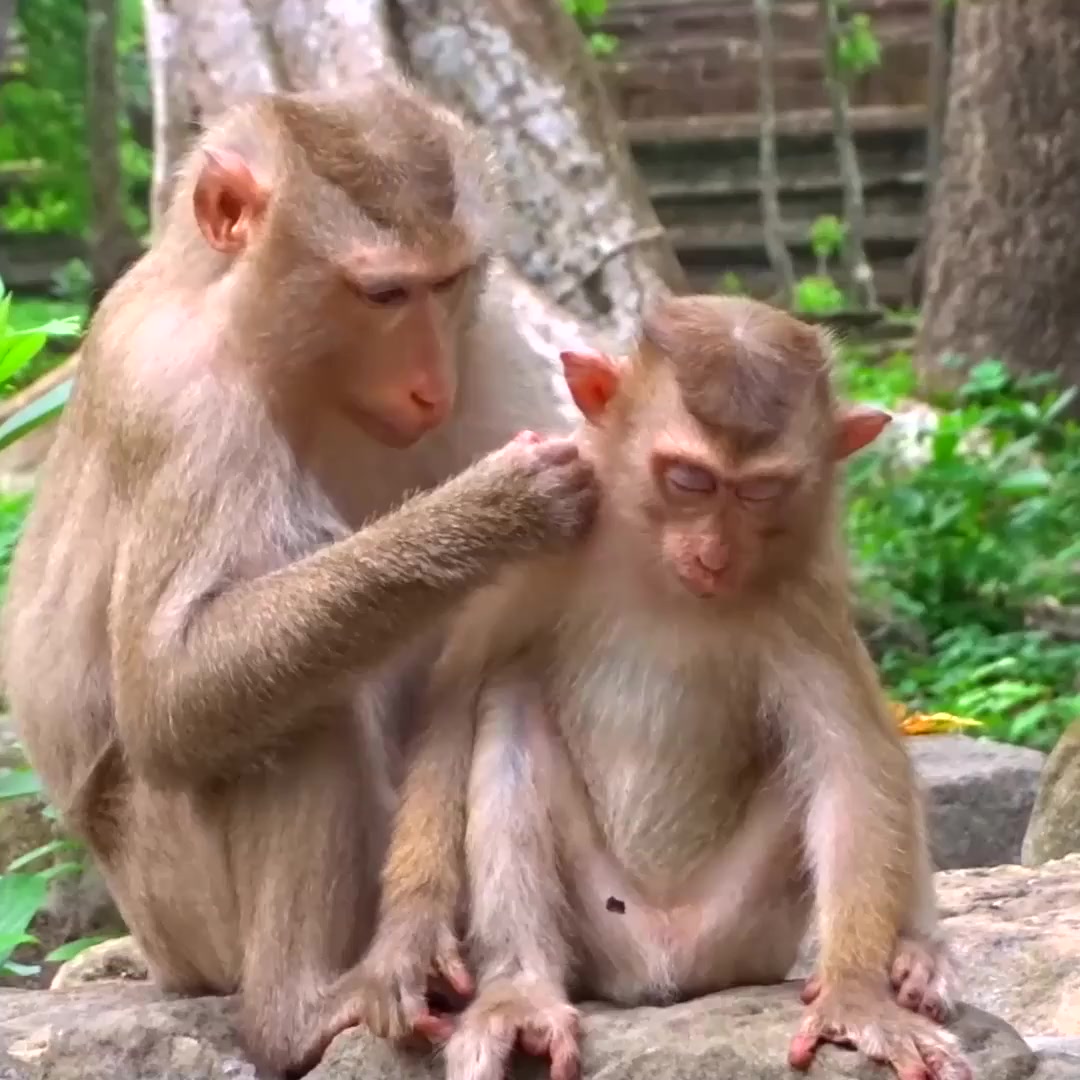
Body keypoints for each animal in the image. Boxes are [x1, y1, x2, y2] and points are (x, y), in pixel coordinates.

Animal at [0, 79, 603, 1075]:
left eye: (446, 283)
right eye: (382, 293)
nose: (429, 387)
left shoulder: (486, 344)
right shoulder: (178, 400)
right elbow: (172, 695)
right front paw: (497, 511)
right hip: (181, 910)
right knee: (289, 712)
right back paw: (297, 1009)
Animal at [326, 295, 972, 1080]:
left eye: (761, 492)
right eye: (689, 479)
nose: (715, 555)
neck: (660, 575)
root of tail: (661, 970)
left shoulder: (804, 595)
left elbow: (855, 765)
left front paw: (857, 995)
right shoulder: (530, 550)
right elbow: (453, 705)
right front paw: (408, 945)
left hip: (740, 933)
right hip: (601, 929)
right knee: (509, 700)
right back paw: (520, 992)